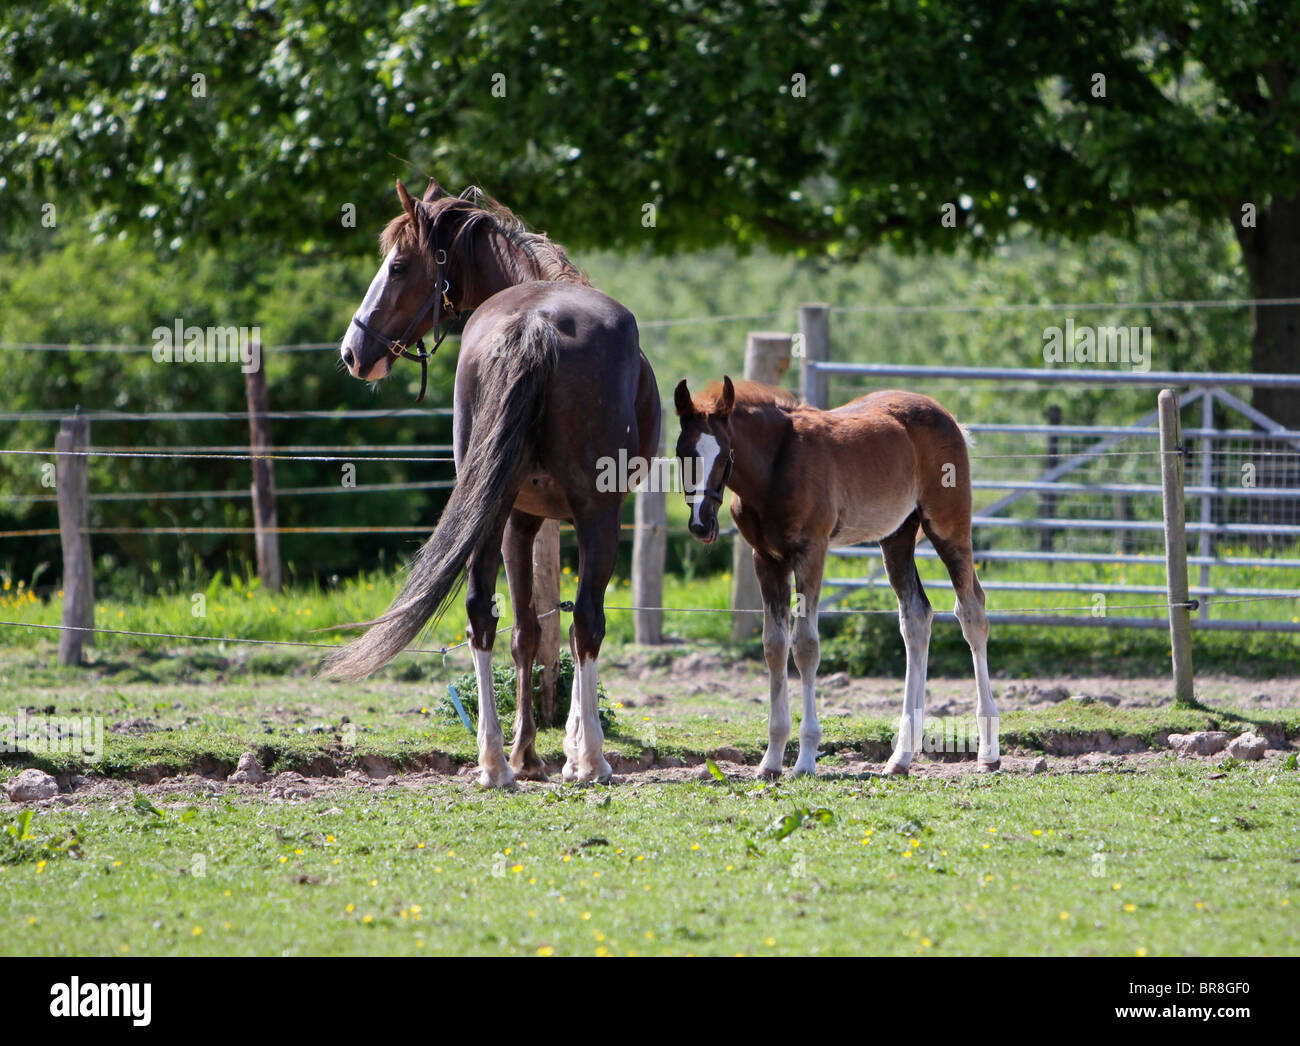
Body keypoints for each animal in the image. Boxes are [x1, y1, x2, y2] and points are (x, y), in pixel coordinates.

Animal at [325, 178, 660, 788]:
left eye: (400, 266)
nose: (353, 352)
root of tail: (535, 322)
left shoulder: (520, 519)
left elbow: (526, 632)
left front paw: (530, 753)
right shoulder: (568, 516)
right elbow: (565, 627)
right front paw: (572, 747)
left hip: (493, 506)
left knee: (483, 614)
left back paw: (495, 761)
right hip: (597, 514)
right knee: (587, 623)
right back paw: (591, 760)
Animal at [673, 376, 1000, 778]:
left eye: (724, 455)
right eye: (682, 452)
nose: (701, 524)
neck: (776, 466)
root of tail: (947, 416)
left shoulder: (812, 551)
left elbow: (805, 646)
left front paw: (806, 758)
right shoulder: (766, 559)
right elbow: (773, 646)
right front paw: (771, 759)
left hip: (947, 523)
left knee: (972, 612)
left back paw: (988, 752)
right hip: (897, 535)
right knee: (916, 617)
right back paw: (900, 757)